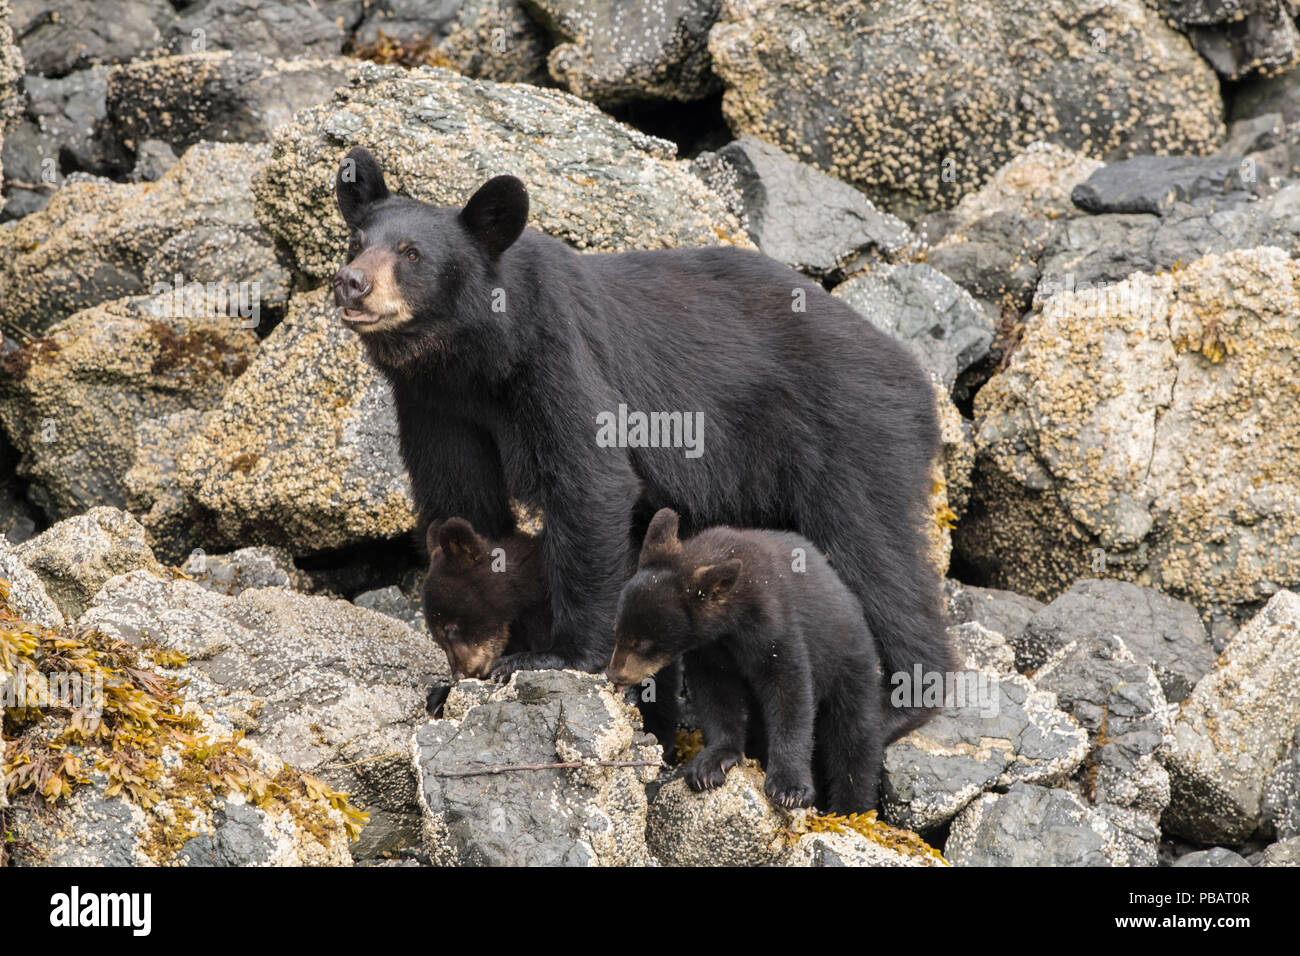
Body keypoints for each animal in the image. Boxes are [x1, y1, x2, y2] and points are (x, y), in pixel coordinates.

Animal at [607, 508, 884, 814]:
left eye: (644, 644)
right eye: (617, 631)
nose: (614, 674)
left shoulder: (775, 624)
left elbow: (791, 694)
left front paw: (790, 787)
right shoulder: (709, 652)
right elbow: (717, 697)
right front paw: (710, 765)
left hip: (850, 664)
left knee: (855, 736)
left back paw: (852, 808)